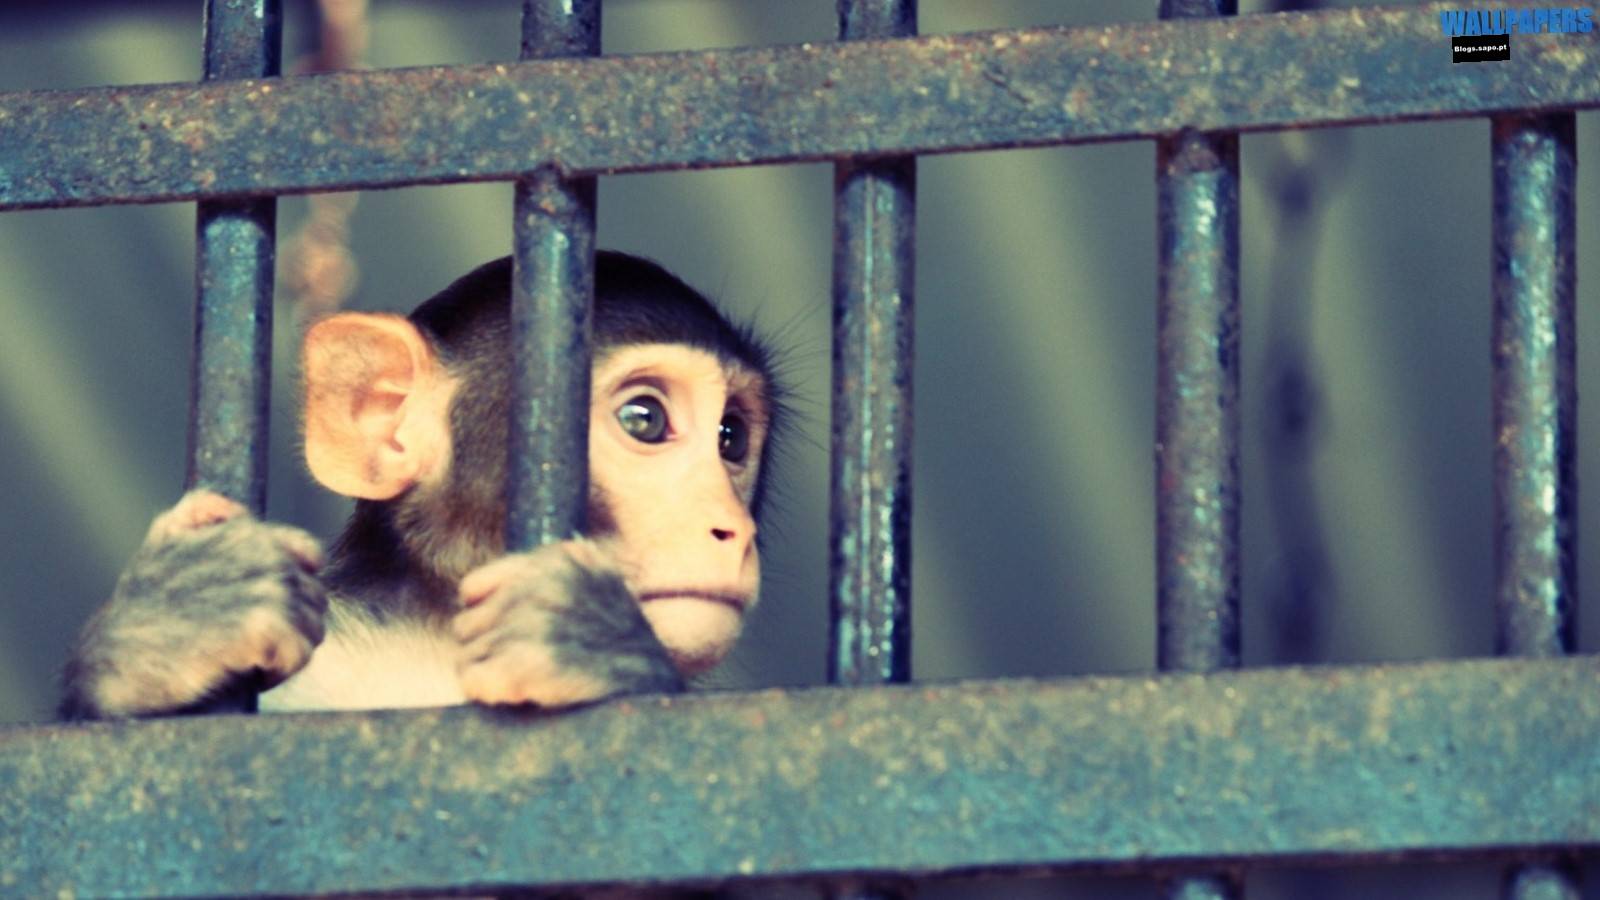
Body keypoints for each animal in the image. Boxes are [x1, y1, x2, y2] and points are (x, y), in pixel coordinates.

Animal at [60, 252, 781, 719]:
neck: (432, 649)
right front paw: (157, 636)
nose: (733, 529)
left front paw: (596, 646)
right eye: (645, 419)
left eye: (731, 437)